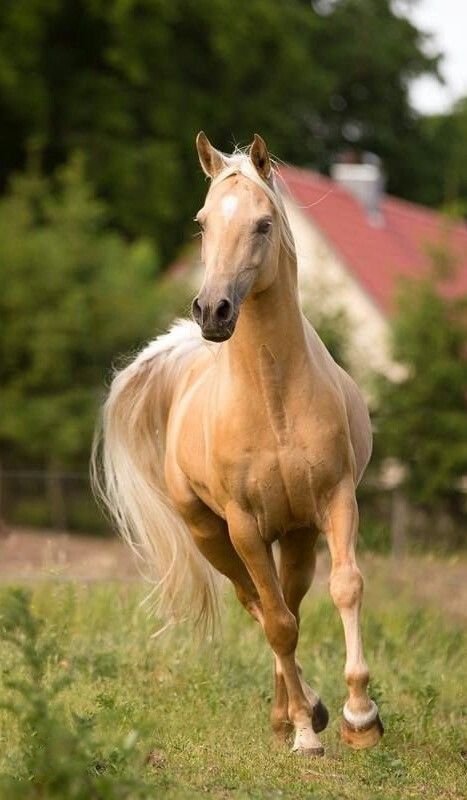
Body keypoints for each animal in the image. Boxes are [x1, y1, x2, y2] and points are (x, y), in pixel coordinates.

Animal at [95, 133, 384, 756]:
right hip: (213, 536)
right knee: (260, 604)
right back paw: (295, 715)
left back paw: (304, 709)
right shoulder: (245, 525)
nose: (212, 311)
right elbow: (276, 623)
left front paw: (360, 716)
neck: (272, 400)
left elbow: (344, 589)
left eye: (263, 223)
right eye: (202, 223)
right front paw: (305, 735)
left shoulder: (336, 501)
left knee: (288, 599)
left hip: (295, 535)